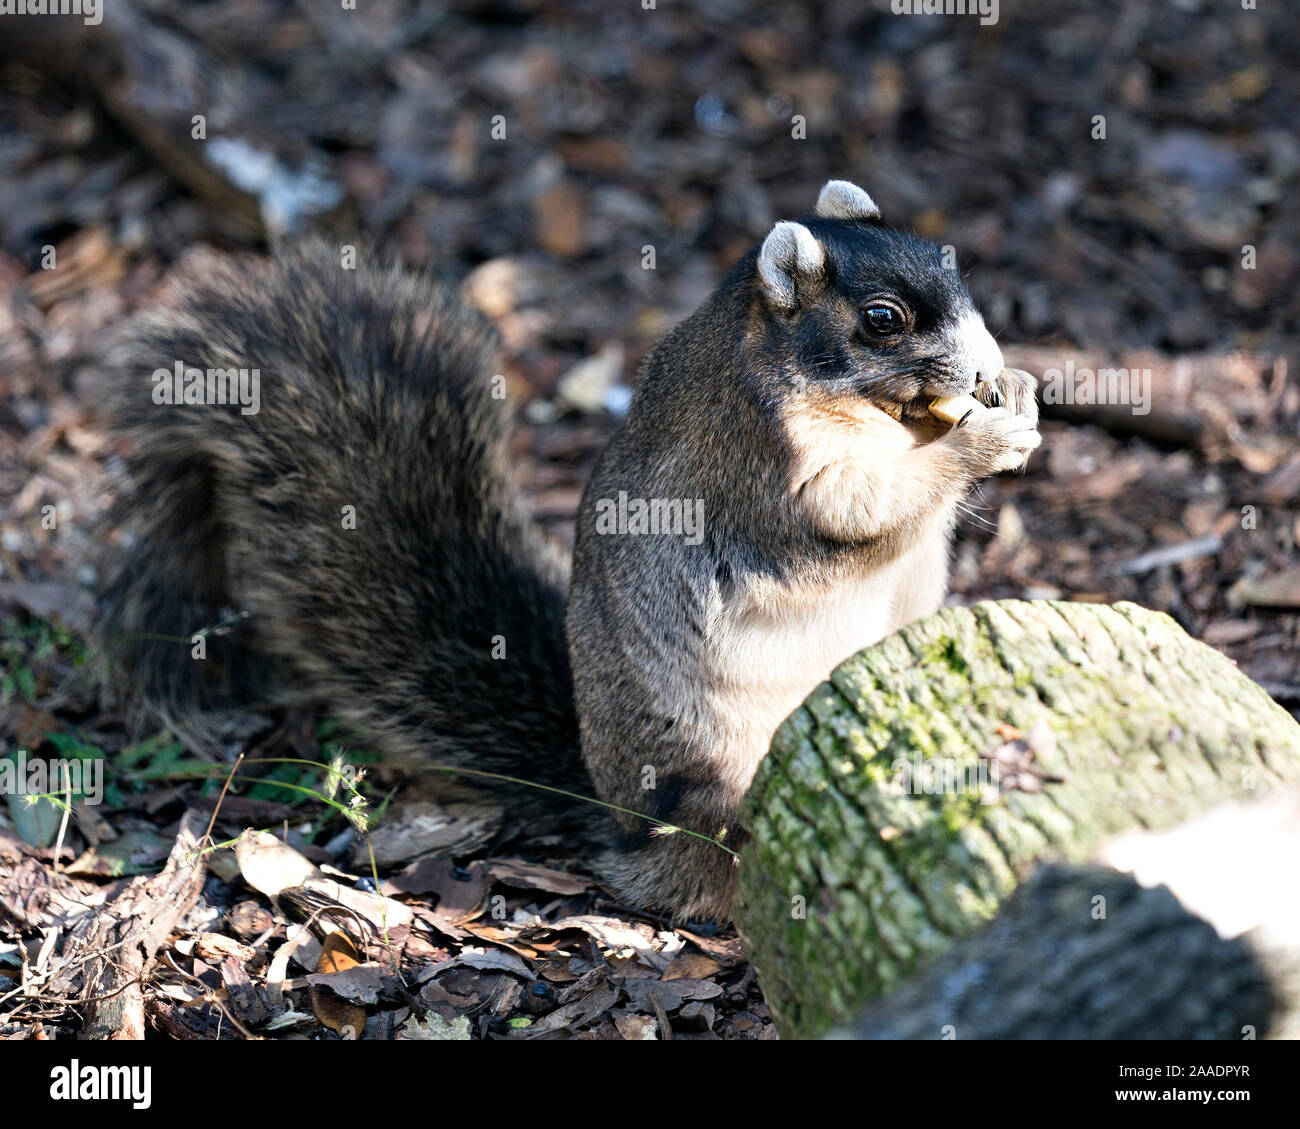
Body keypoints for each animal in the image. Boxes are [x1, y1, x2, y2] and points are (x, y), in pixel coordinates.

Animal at [96, 180, 1040, 922]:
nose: (983, 366)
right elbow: (857, 511)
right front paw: (985, 434)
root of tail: (625, 824)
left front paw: (1019, 392)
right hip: (722, 769)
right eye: (883, 320)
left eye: (951, 262)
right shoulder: (768, 469)